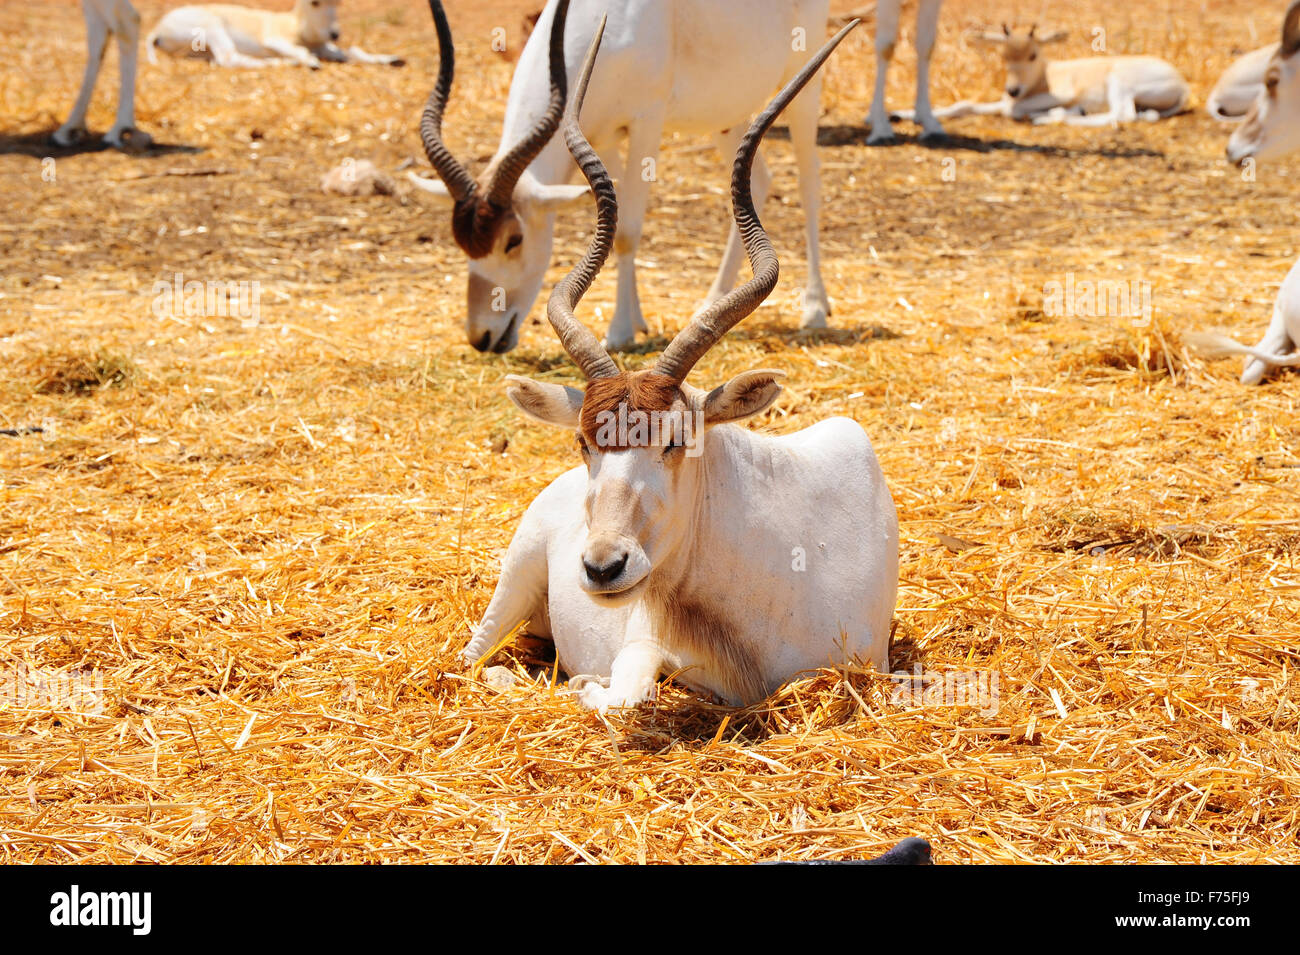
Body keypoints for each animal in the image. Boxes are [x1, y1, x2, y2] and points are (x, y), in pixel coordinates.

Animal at [147, 0, 403, 69]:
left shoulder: (326, 47)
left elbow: (352, 52)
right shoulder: (274, 39)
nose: (334, 33)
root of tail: (157, 29)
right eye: (315, 2)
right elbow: (302, 52)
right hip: (212, 26)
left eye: (338, 3)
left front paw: (393, 59)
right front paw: (311, 63)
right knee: (228, 59)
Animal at [411, 0, 836, 354]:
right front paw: (636, 320)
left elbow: (629, 230)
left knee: (809, 181)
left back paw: (815, 309)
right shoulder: (602, 136)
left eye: (514, 240)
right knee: (759, 180)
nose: (481, 337)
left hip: (804, 87)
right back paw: (711, 302)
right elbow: (615, 230)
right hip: (726, 116)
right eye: (462, 244)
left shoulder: (646, 121)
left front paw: (618, 332)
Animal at [462, 18, 899, 715]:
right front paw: (579, 682)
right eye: (584, 442)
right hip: (517, 573)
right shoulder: (643, 639)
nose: (603, 567)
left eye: (675, 441)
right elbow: (623, 691)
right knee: (471, 656)